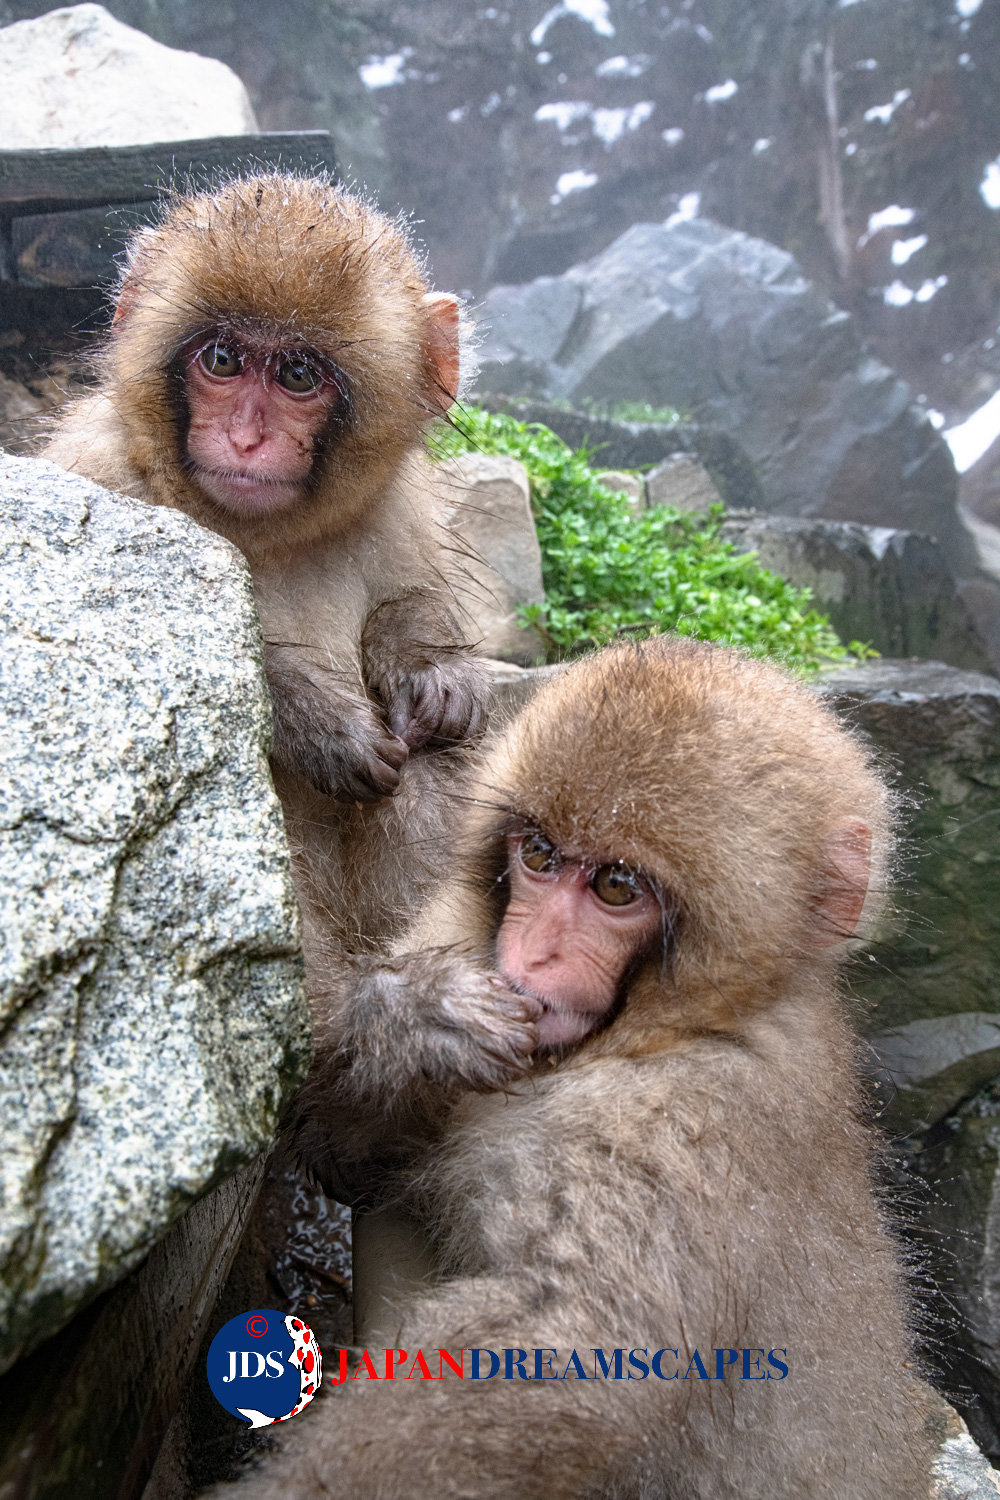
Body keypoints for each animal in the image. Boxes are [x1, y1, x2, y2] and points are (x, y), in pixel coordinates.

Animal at [229, 635, 934, 1500]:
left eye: (616, 887)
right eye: (538, 854)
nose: (532, 954)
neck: (660, 1032)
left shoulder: (688, 1122)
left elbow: (570, 1349)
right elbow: (349, 1161)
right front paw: (414, 1021)